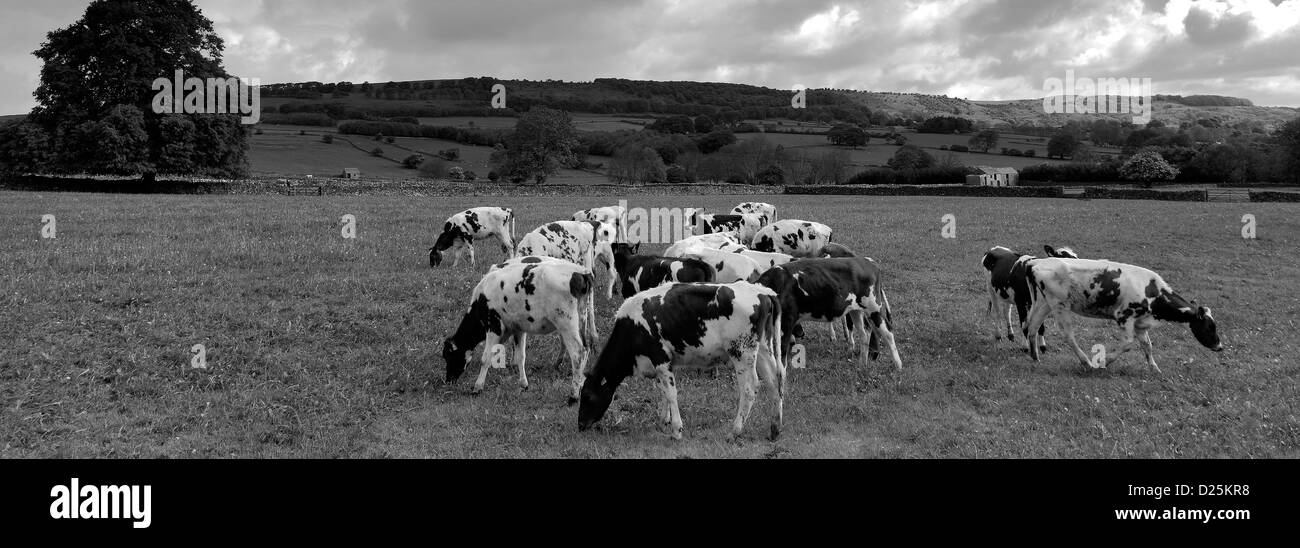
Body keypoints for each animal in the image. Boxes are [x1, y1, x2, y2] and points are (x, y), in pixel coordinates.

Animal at [443, 256, 598, 404]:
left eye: (448, 356)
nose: (448, 380)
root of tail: (581, 272)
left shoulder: (494, 326)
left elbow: (485, 358)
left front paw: (477, 387)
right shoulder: (518, 328)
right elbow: (520, 357)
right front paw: (524, 384)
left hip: (567, 324)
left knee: (578, 354)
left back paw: (573, 396)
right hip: (581, 320)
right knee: (586, 348)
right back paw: (580, 386)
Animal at [577, 282, 785, 440]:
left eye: (587, 396)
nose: (580, 425)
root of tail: (763, 292)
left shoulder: (660, 358)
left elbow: (671, 393)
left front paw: (676, 430)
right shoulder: (665, 363)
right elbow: (662, 390)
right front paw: (663, 421)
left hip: (741, 352)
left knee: (749, 390)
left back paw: (735, 431)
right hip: (763, 350)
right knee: (775, 382)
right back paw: (774, 429)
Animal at [757, 258, 902, 376]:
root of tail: (869, 262)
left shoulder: (786, 320)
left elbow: (781, 351)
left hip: (874, 308)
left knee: (888, 333)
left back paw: (898, 366)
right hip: (856, 310)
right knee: (864, 334)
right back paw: (862, 366)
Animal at [1023, 258, 1223, 373]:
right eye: (1209, 327)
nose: (1220, 347)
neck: (1153, 292)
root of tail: (1035, 263)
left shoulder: (1140, 323)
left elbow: (1148, 345)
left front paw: (1154, 368)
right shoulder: (1124, 317)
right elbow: (1127, 344)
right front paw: (1104, 361)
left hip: (1043, 303)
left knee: (1032, 326)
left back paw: (1035, 357)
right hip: (1060, 305)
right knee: (1068, 336)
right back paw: (1086, 362)